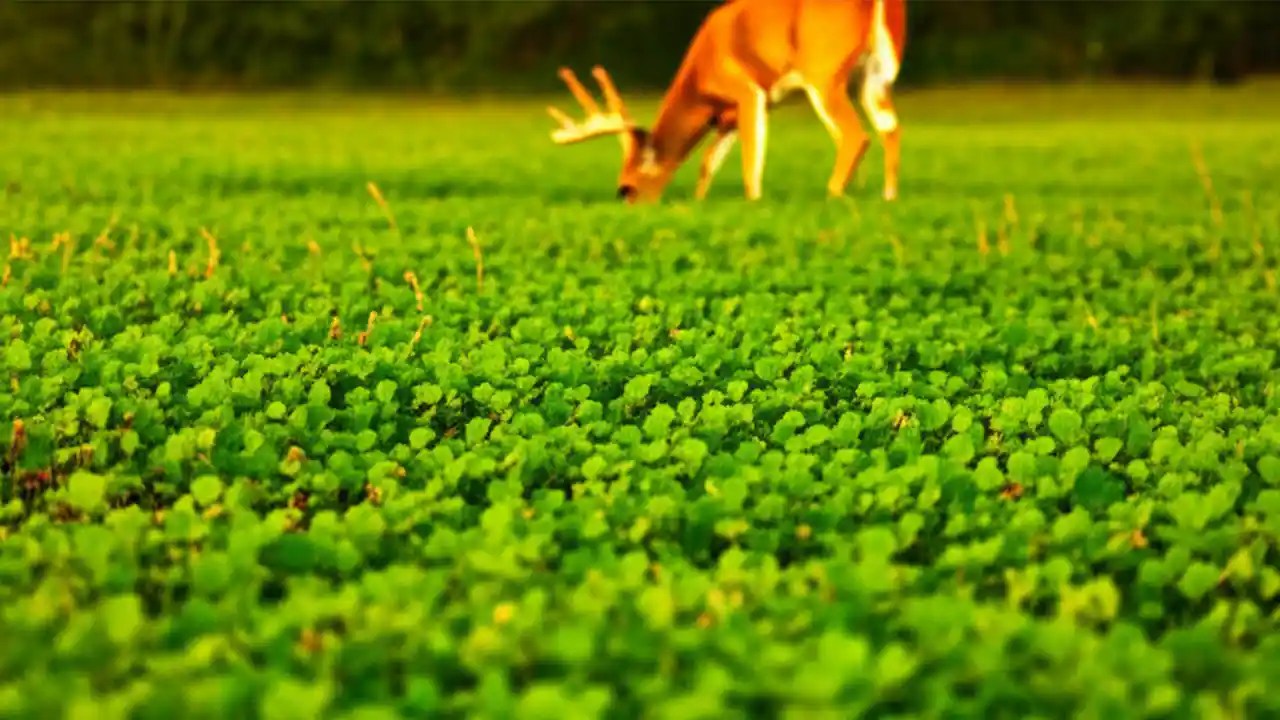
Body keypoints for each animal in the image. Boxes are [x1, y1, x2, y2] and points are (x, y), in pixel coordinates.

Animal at [546, 0, 907, 204]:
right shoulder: (726, 116)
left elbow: (751, 158)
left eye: (627, 188)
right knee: (889, 129)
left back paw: (832, 196)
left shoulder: (746, 90)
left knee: (854, 136)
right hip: (875, 75)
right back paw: (887, 198)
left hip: (823, 72)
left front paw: (753, 202)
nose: (629, 206)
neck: (700, 78)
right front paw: (699, 202)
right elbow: (708, 163)